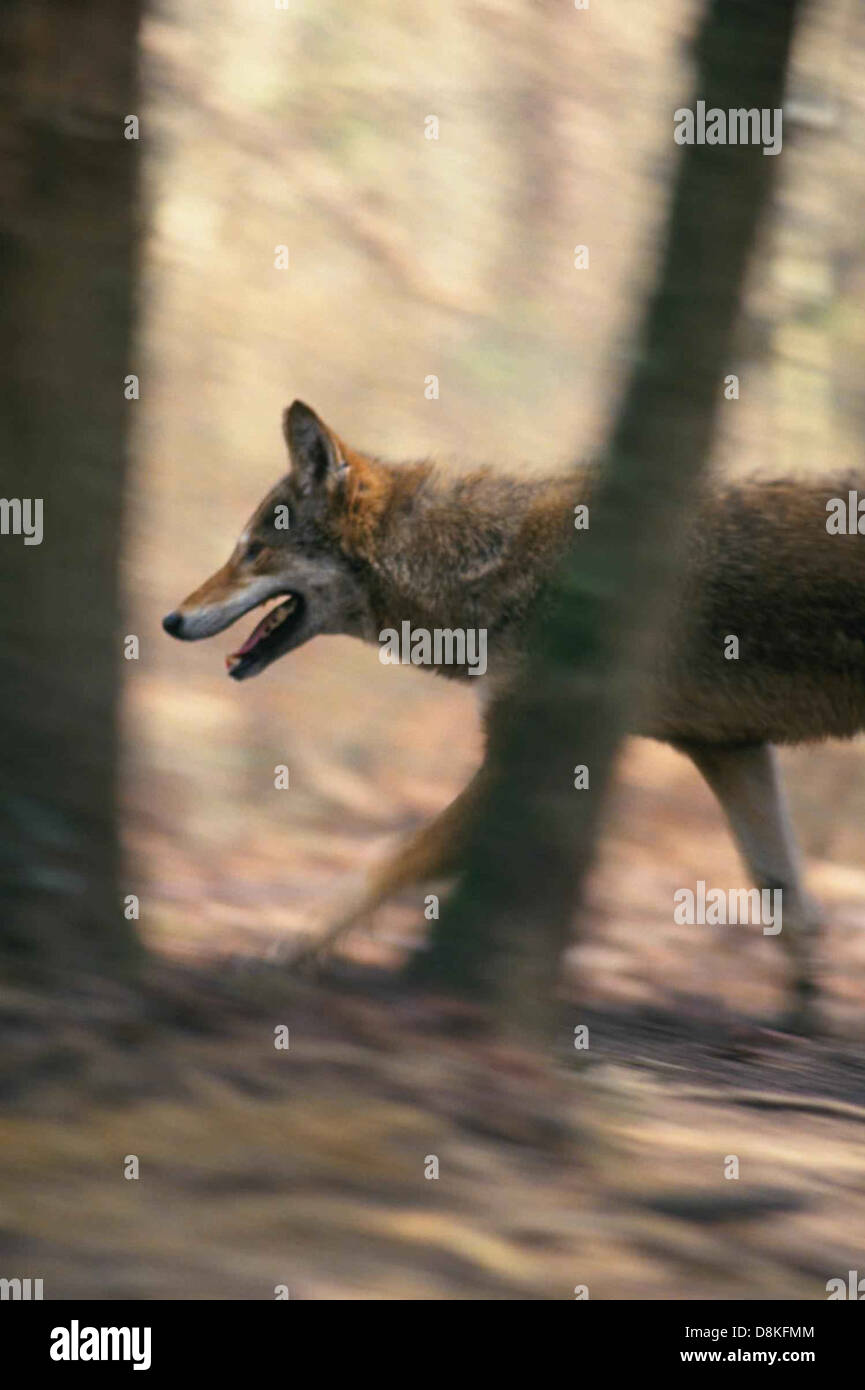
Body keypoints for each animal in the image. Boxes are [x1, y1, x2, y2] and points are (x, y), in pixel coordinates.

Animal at [164, 401, 865, 1027]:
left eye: (253, 551)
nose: (170, 620)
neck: (481, 562)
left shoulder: (524, 760)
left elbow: (386, 859)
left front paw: (282, 953)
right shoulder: (727, 747)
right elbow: (786, 897)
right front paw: (803, 1011)